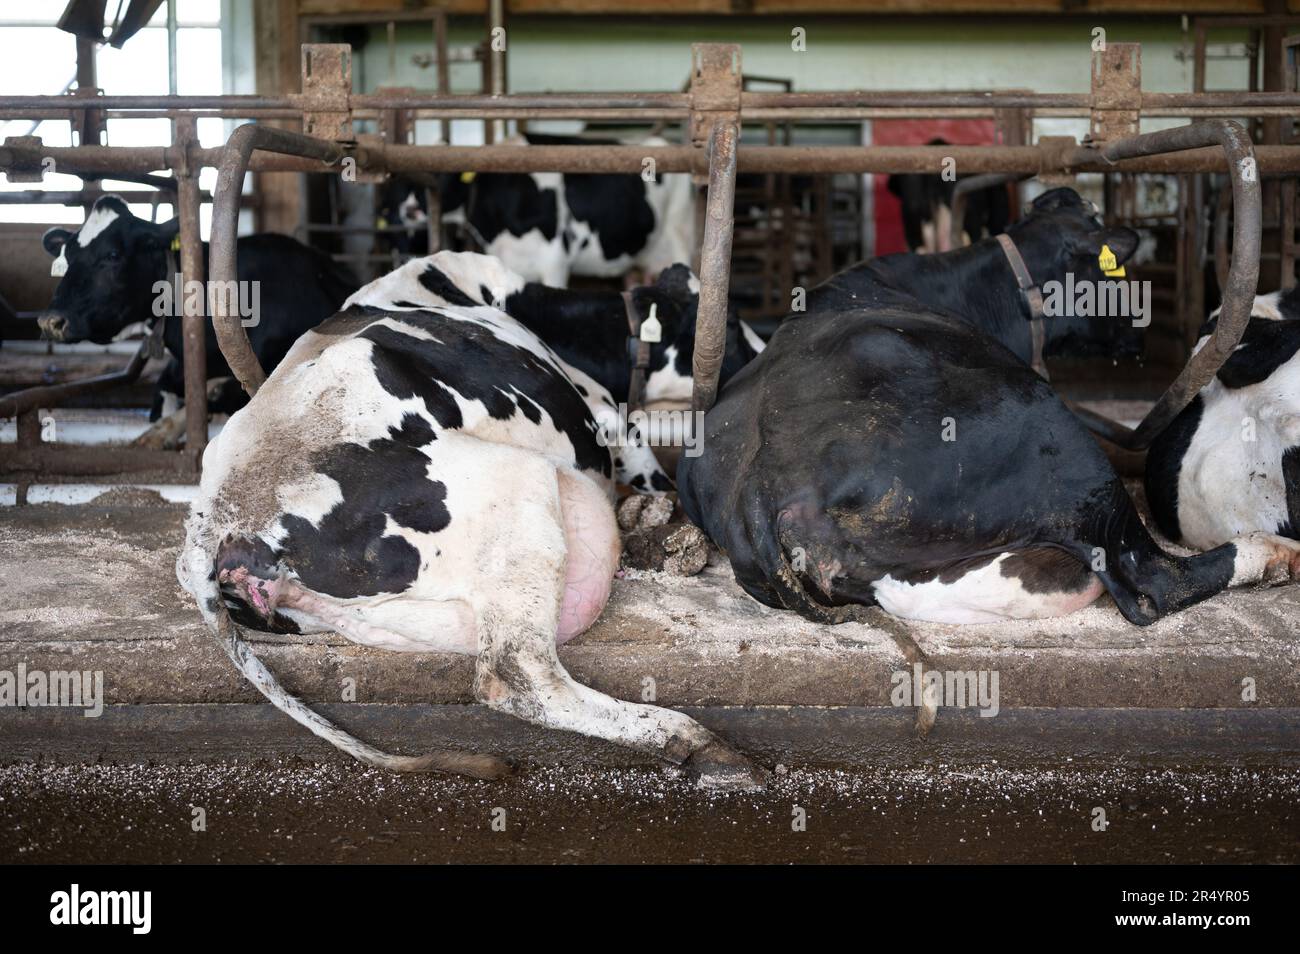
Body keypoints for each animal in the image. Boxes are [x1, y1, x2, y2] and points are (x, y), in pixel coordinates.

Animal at [176, 250, 762, 790]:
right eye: (733, 324)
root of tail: (214, 523)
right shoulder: (603, 414)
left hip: (386, 615)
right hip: (519, 486)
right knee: (514, 674)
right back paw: (695, 741)